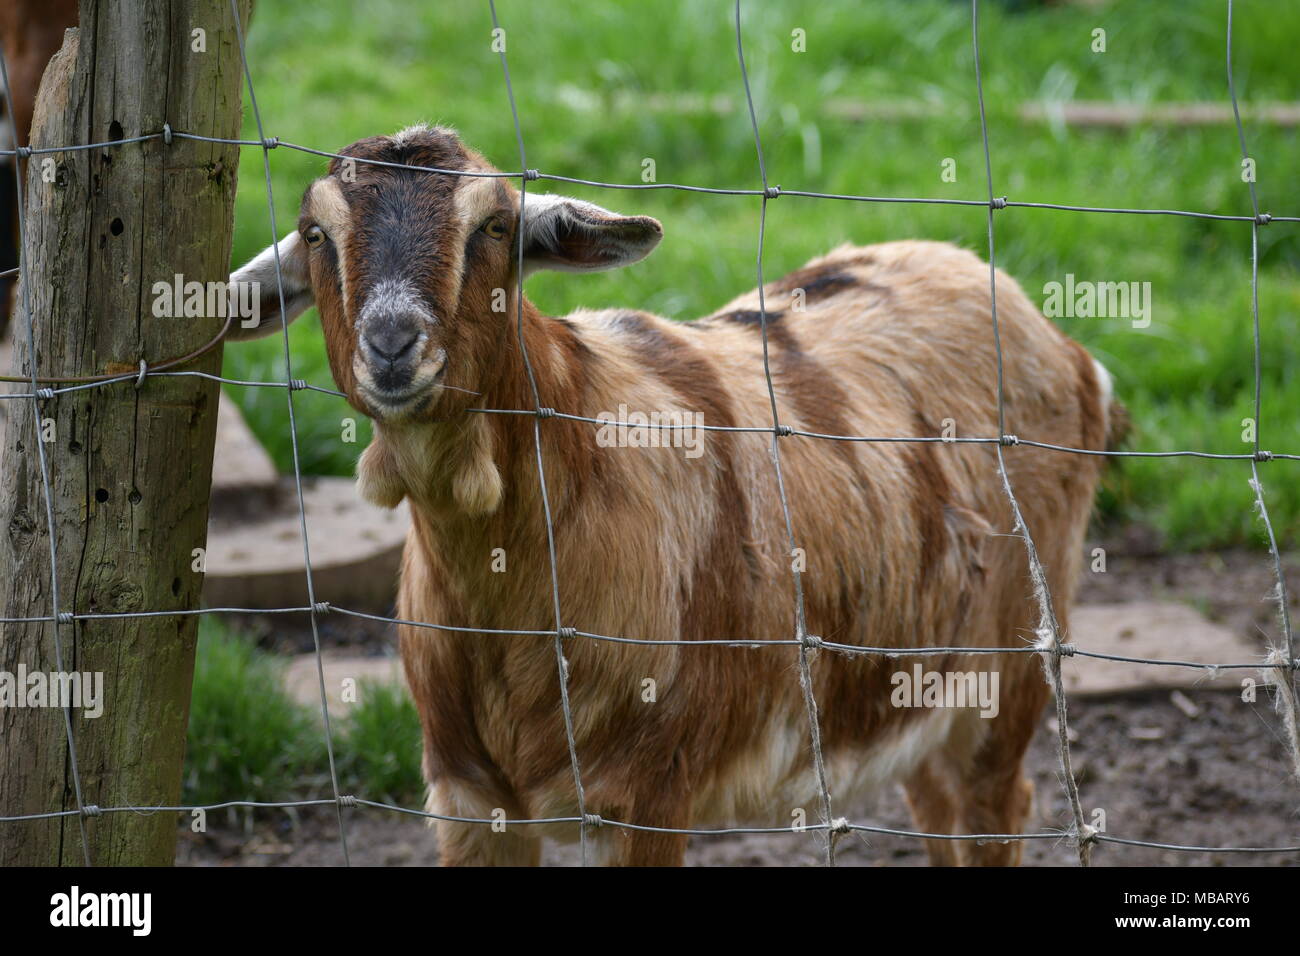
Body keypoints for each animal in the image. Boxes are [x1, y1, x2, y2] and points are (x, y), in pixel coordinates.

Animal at [230, 125, 1118, 866]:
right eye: (317, 234)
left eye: (495, 227)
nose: (391, 345)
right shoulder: (469, 799)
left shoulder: (646, 793)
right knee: (936, 805)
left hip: (1013, 660)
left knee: (996, 802)